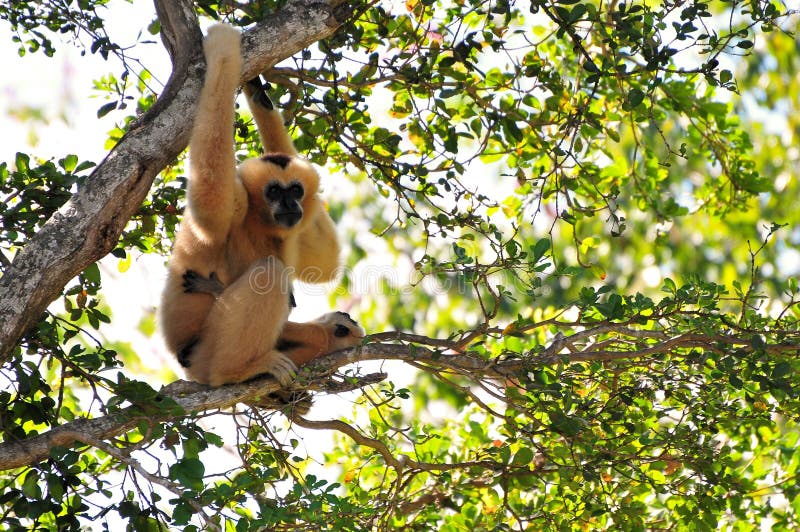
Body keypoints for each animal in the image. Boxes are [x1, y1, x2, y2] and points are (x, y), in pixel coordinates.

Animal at [159, 23, 365, 388]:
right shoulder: (239, 204)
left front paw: (243, 75)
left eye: (295, 190)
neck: (258, 221)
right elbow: (210, 206)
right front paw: (237, 68)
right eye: (273, 192)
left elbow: (324, 264)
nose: (290, 203)